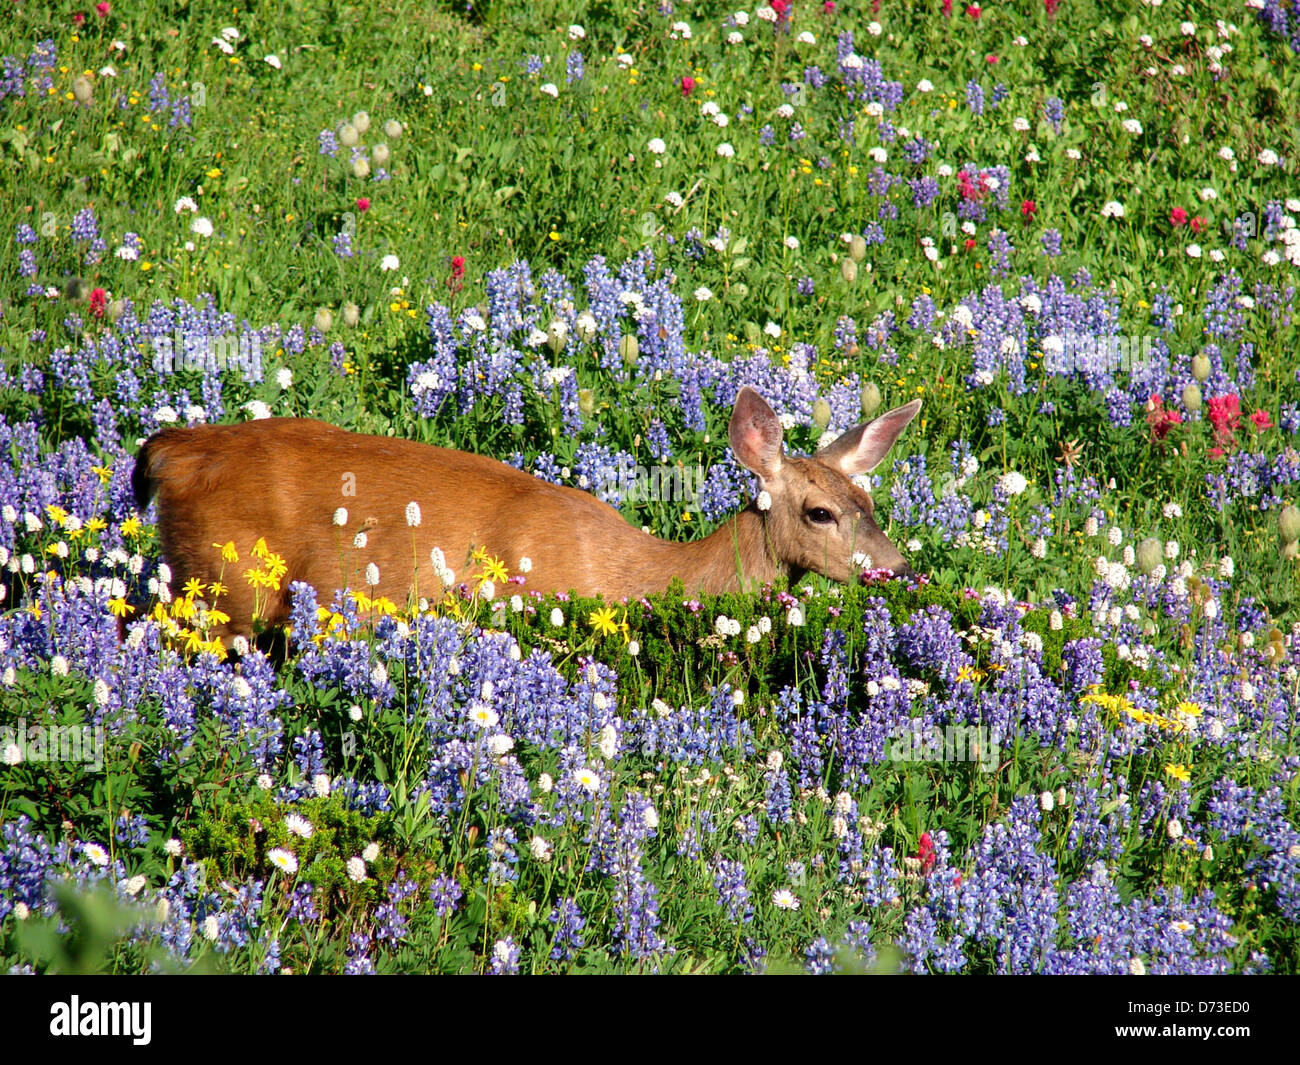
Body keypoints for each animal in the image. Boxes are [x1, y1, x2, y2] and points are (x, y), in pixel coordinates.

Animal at [130, 387, 921, 642]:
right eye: (819, 511)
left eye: (870, 502)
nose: (897, 567)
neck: (638, 570)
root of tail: (170, 451)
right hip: (224, 587)